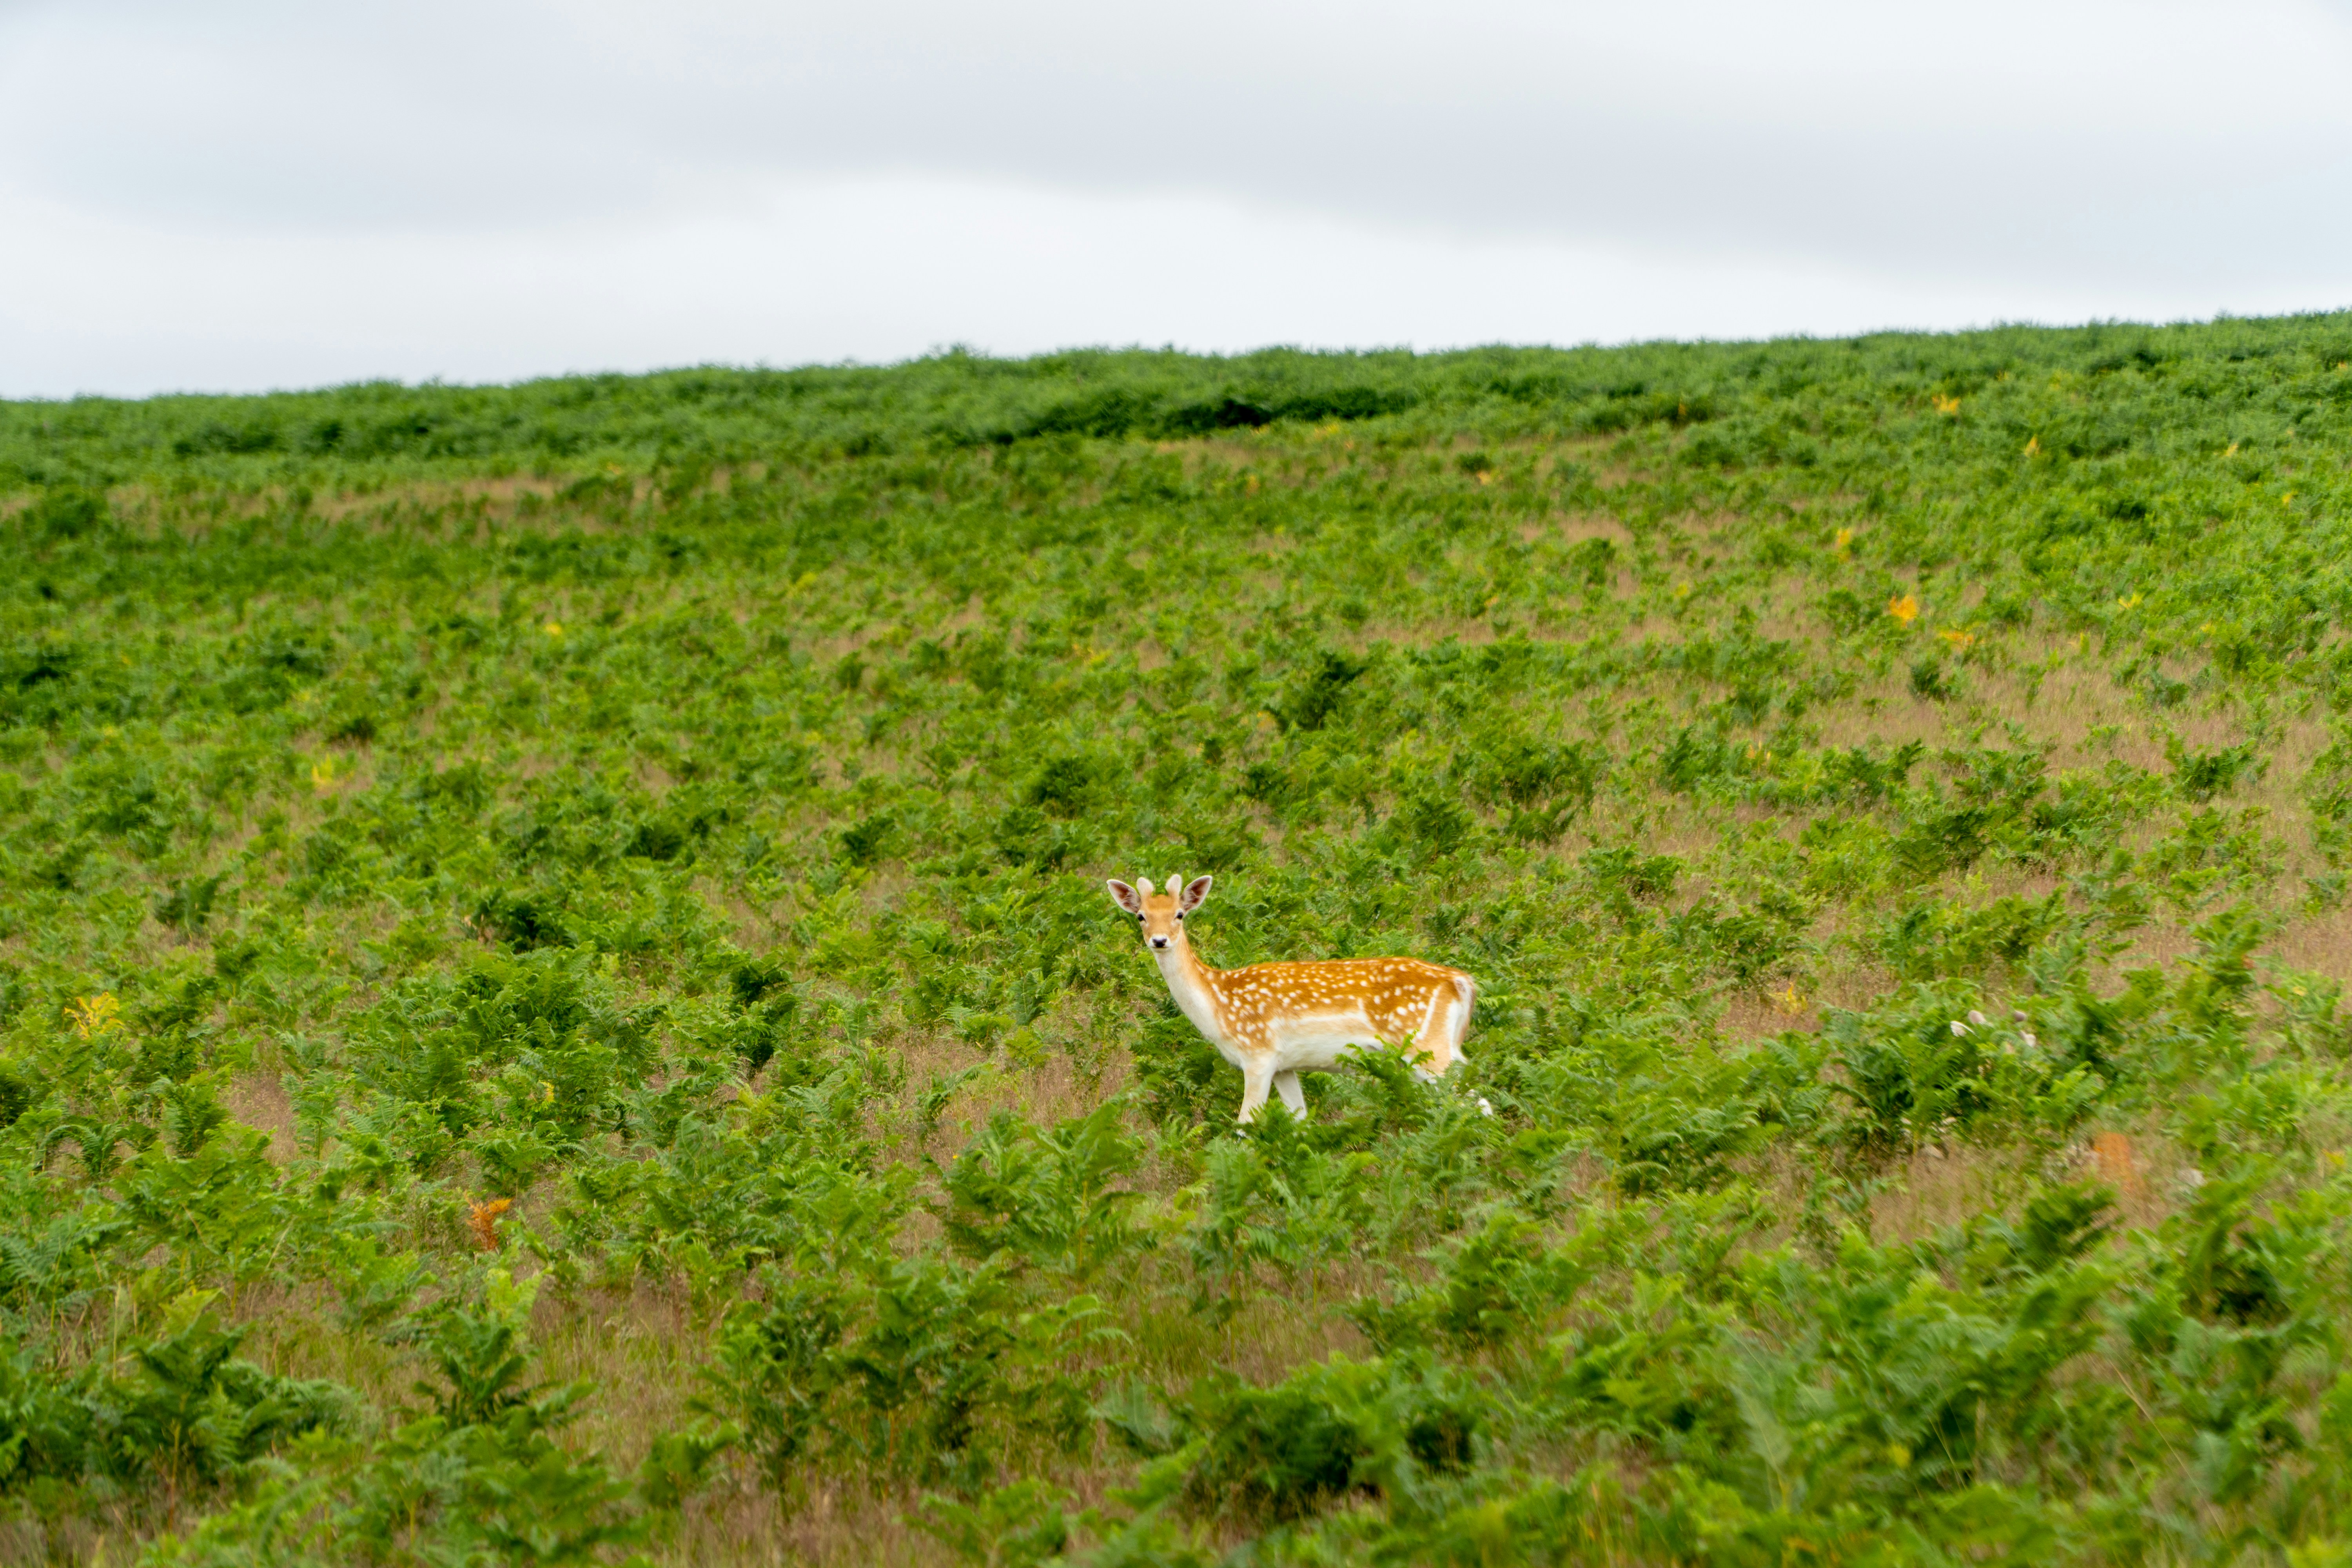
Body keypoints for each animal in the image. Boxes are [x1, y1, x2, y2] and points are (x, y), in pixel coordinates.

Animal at [1105, 874, 1489, 1123]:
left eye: (1180, 915)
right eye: (1141, 916)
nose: (1159, 941)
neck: (1219, 1004)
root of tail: (1461, 982)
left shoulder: (1258, 1054)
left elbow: (1245, 1126)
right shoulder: (1285, 1066)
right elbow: (1299, 1122)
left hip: (1426, 1044)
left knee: (1479, 1102)